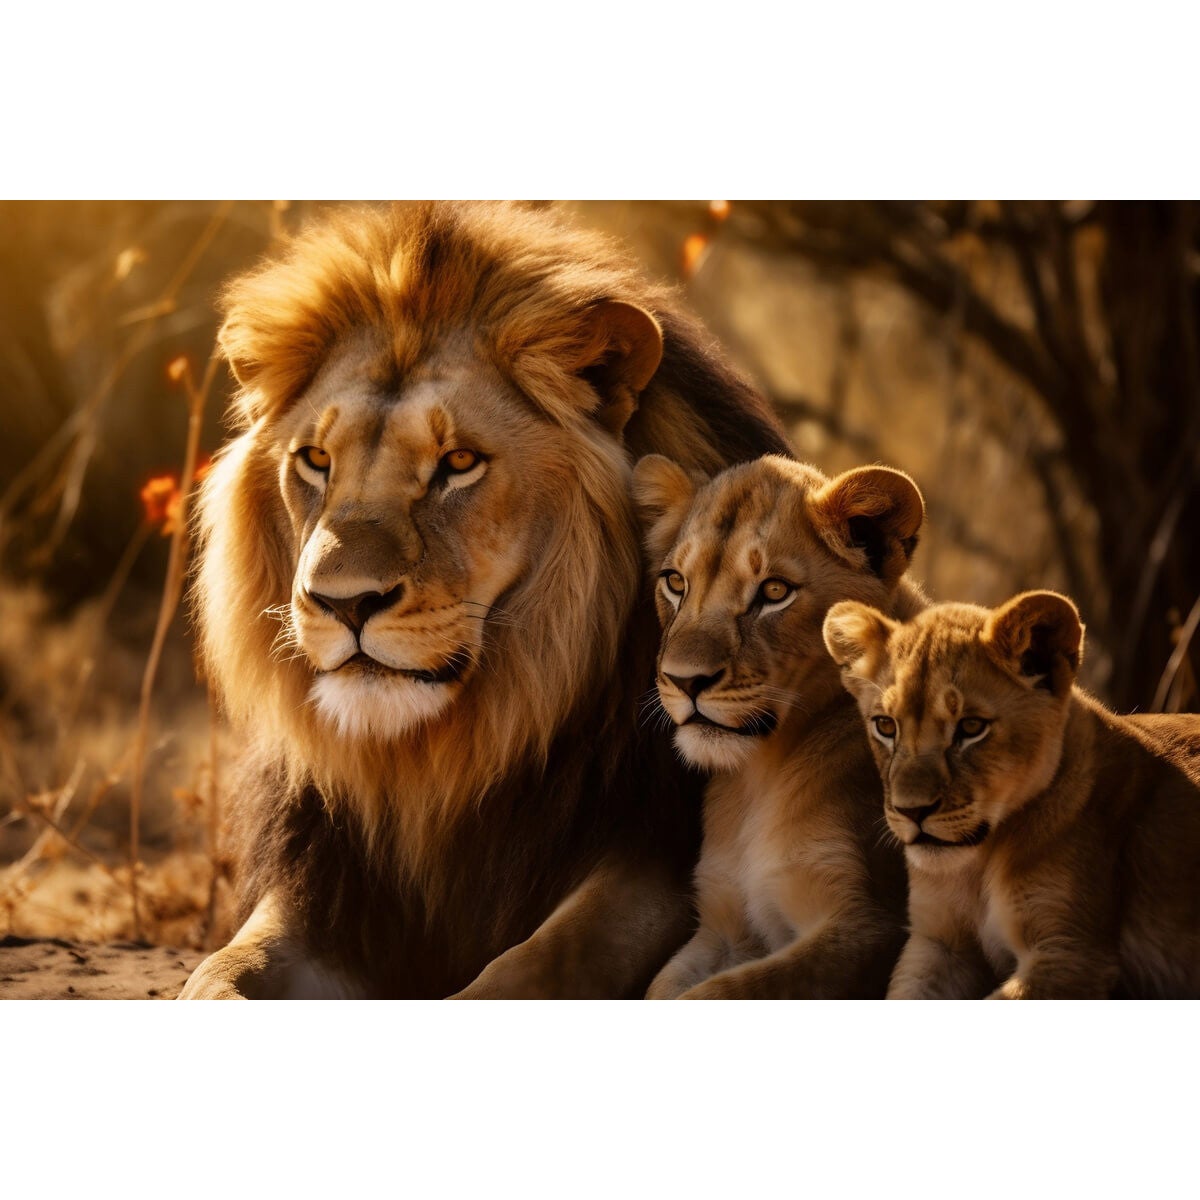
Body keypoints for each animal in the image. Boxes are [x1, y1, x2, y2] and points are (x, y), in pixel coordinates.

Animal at [177, 201, 790, 999]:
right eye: (315, 460)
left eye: (459, 463)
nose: (343, 602)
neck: (440, 764)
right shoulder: (321, 882)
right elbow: (218, 973)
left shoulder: (652, 861)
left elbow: (535, 964)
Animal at [631, 453, 924, 999]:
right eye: (676, 583)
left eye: (774, 592)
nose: (684, 680)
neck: (760, 781)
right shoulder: (723, 927)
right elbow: (662, 991)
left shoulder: (869, 924)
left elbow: (723, 993)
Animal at [823, 590, 1200, 999]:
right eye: (886, 726)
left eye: (971, 727)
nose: (912, 811)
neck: (976, 868)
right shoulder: (938, 941)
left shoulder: (1071, 952)